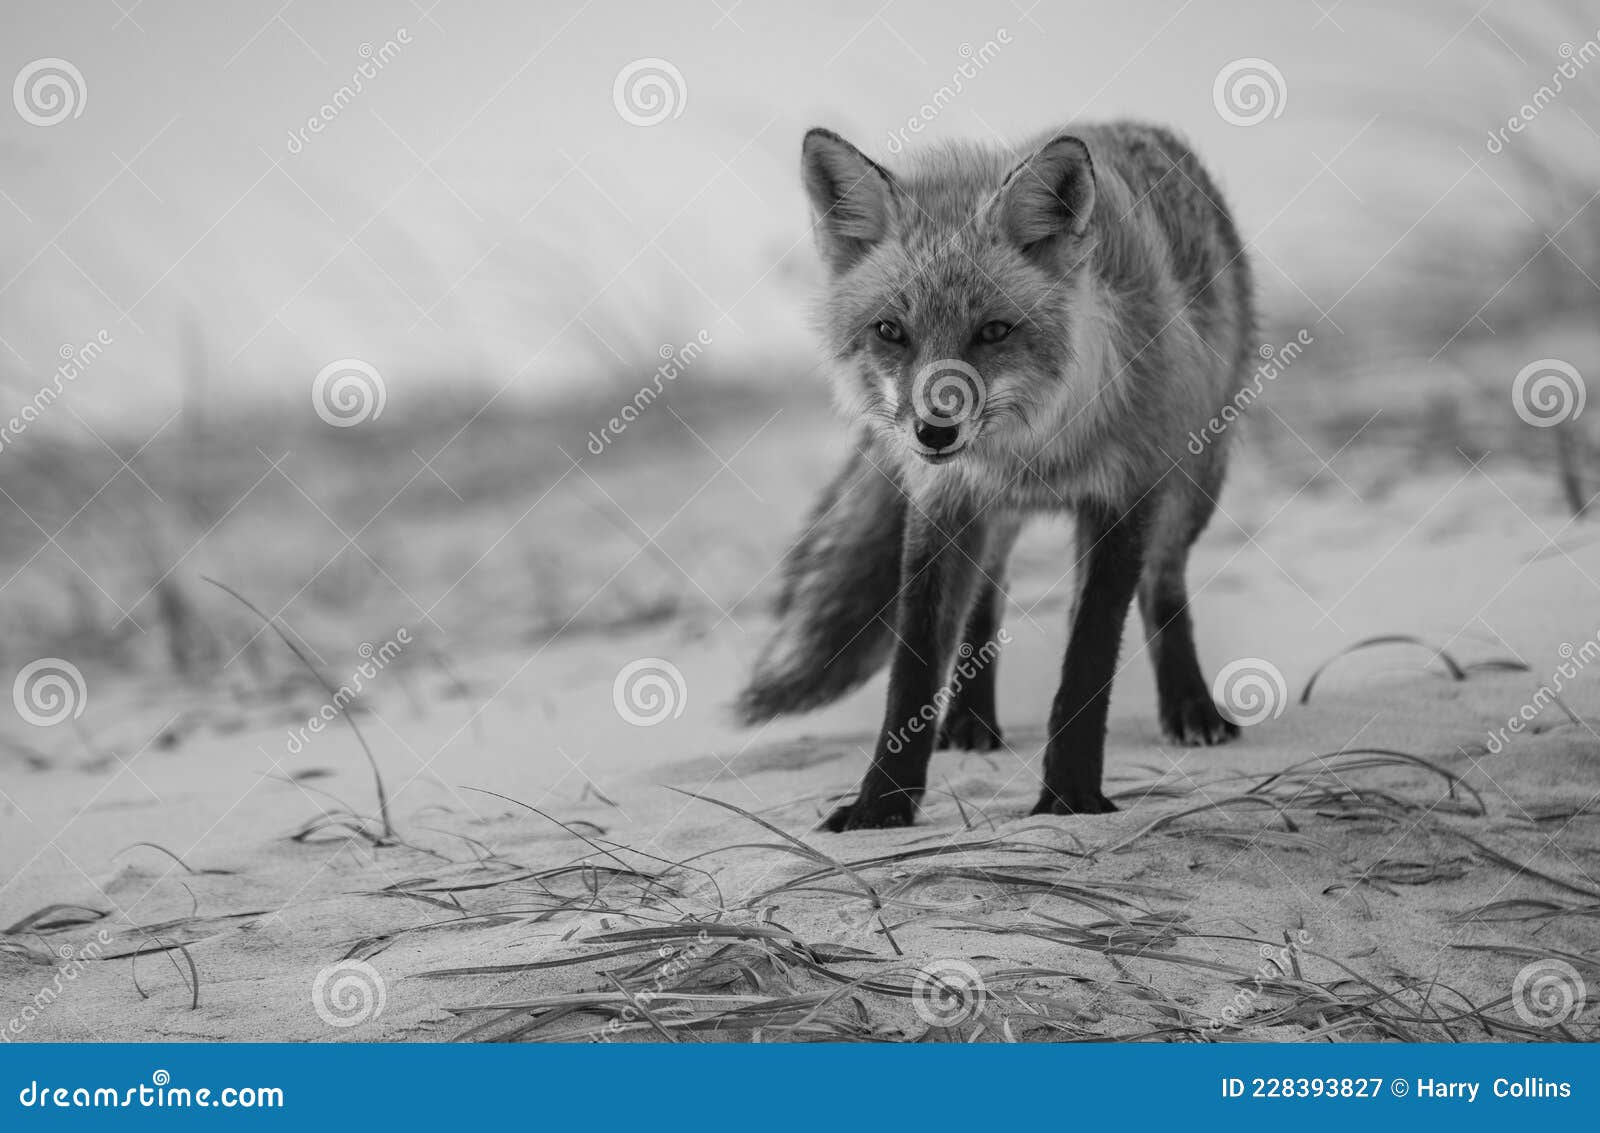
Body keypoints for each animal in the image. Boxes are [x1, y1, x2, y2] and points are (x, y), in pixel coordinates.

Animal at [735, 121, 1256, 832]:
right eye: (890, 331)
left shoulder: (1123, 498)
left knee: (1162, 586)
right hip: (992, 518)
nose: (934, 432)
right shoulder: (941, 501)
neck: (1035, 453)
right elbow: (913, 667)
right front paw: (882, 803)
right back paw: (971, 719)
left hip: (1191, 484)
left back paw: (1189, 705)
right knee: (988, 594)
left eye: (993, 331)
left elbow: (1088, 659)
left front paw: (1070, 797)